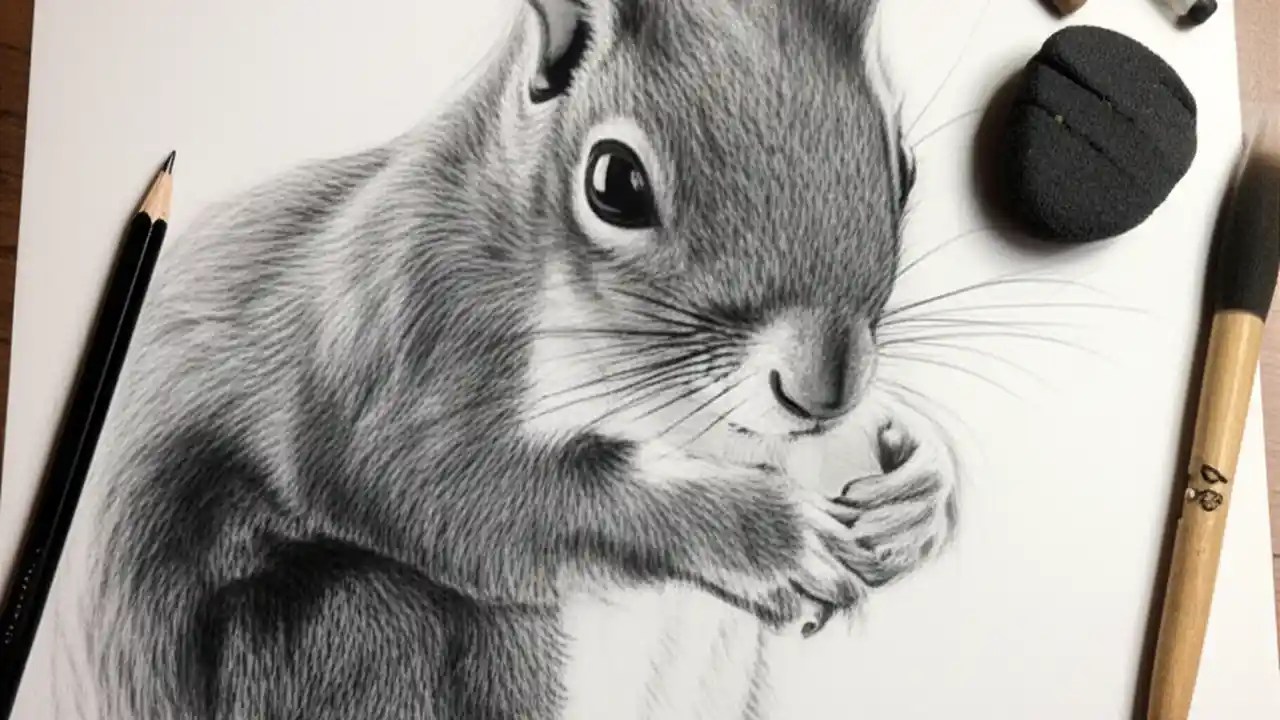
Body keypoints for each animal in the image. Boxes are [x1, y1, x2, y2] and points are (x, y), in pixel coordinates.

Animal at [59, 1, 957, 718]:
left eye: (906, 165)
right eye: (614, 183)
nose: (824, 388)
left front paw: (922, 489)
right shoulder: (390, 323)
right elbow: (438, 483)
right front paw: (766, 535)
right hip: (362, 631)